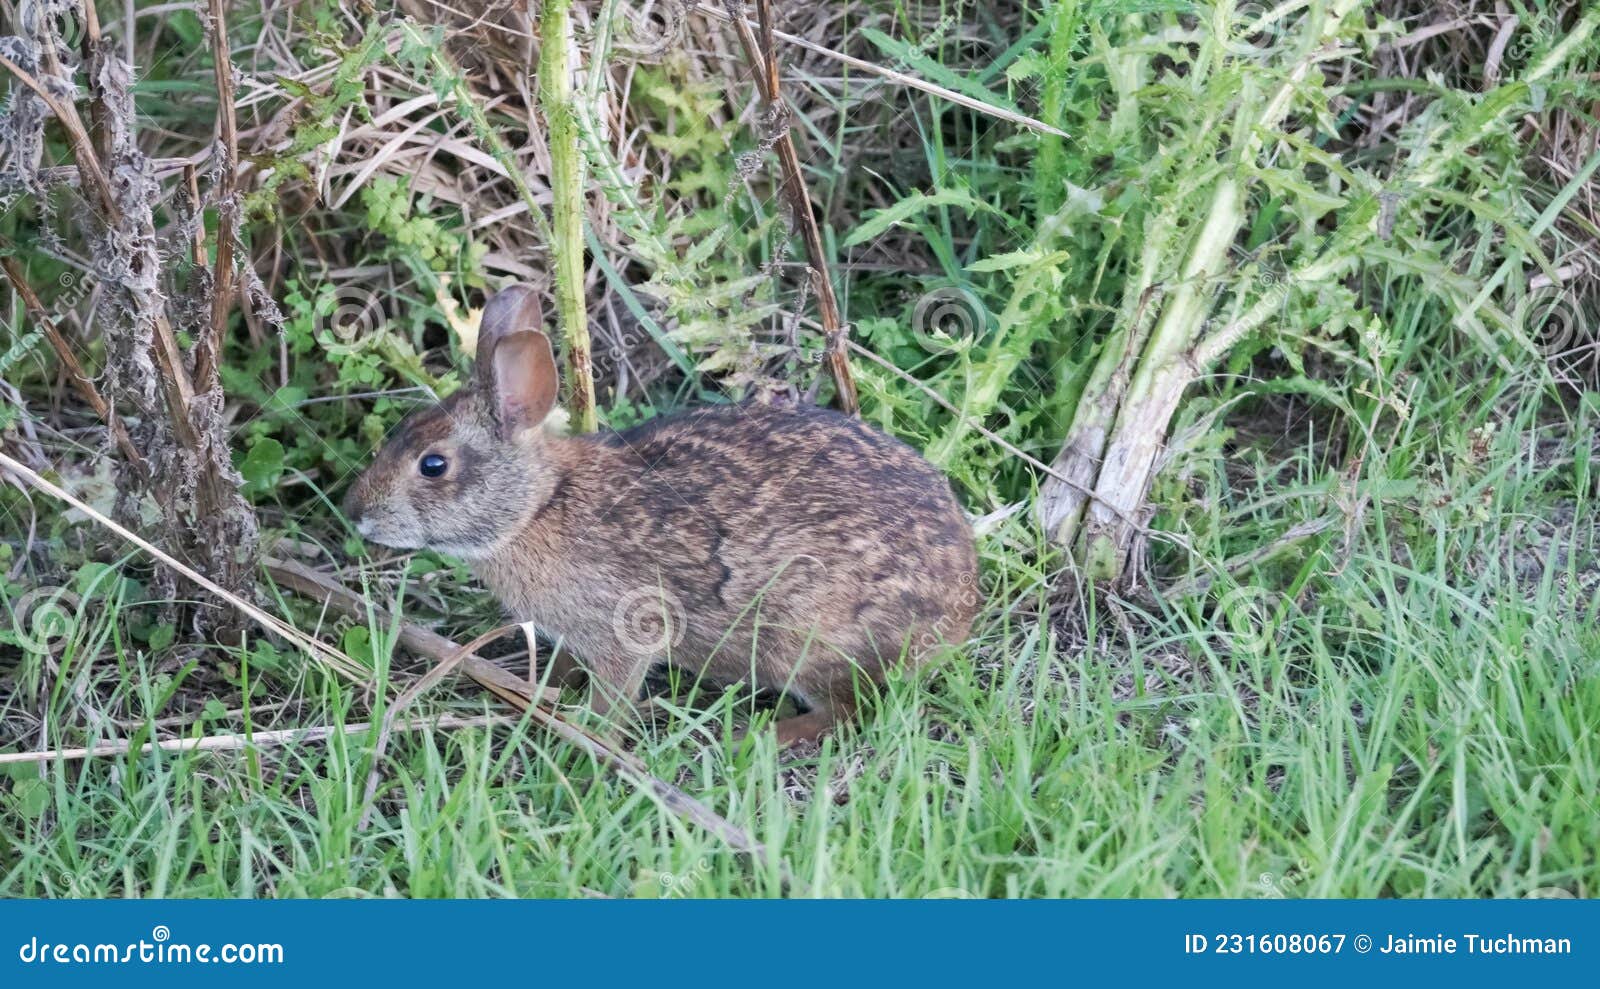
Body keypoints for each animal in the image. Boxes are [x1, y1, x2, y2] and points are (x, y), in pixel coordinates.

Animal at [342, 285, 979, 745]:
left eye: (433, 465)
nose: (356, 514)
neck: (539, 506)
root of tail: (961, 608)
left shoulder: (626, 632)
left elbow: (616, 694)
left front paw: (589, 736)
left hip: (808, 639)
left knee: (850, 710)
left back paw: (758, 737)